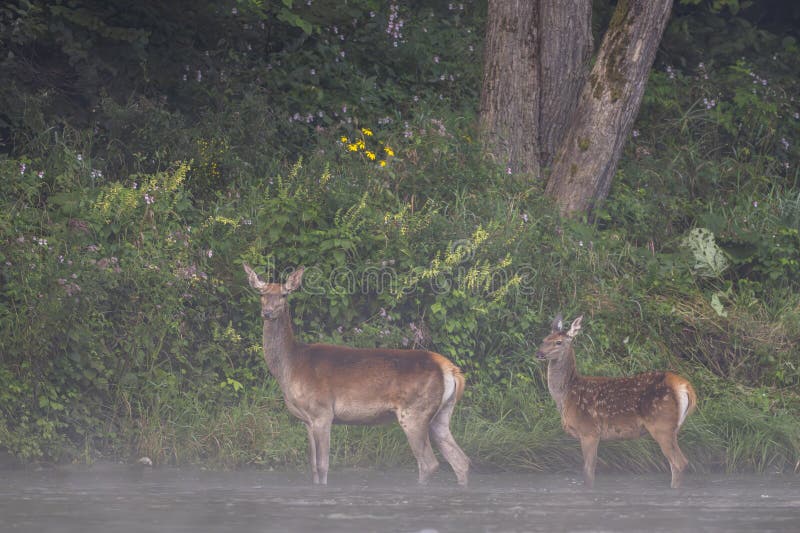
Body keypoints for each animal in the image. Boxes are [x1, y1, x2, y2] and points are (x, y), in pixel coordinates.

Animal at [243, 263, 470, 486]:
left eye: (284, 294)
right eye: (262, 293)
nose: (267, 312)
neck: (290, 366)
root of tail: (450, 369)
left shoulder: (322, 411)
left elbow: (323, 466)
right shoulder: (307, 420)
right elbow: (313, 467)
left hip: (415, 411)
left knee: (429, 463)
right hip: (440, 415)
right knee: (461, 460)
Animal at [536, 314, 697, 489]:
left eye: (558, 342)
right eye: (544, 339)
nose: (538, 353)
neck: (566, 395)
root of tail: (686, 387)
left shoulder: (589, 430)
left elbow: (588, 471)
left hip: (662, 424)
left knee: (679, 463)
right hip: (672, 428)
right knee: (676, 464)